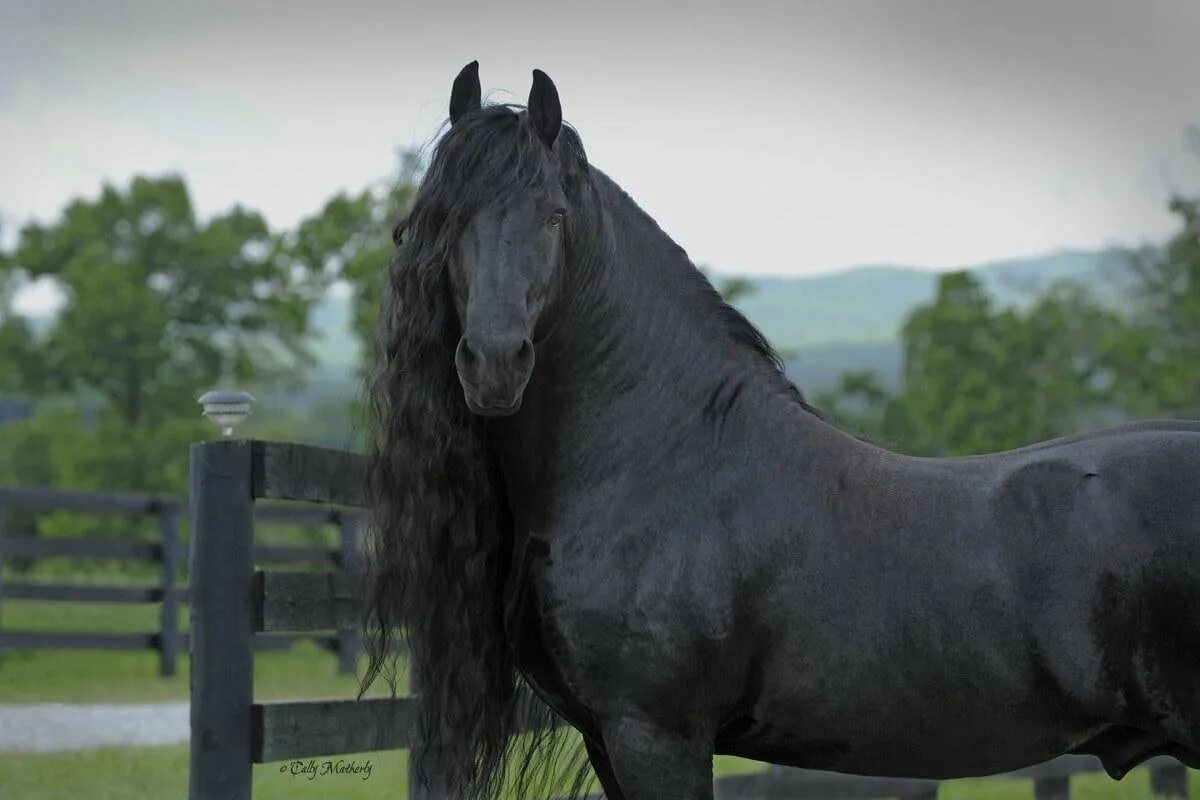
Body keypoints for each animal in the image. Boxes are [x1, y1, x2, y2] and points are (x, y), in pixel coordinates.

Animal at [360, 62, 1200, 800]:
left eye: (554, 216)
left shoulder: (655, 733)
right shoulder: (608, 737)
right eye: (443, 222)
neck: (657, 464)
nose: (495, 364)